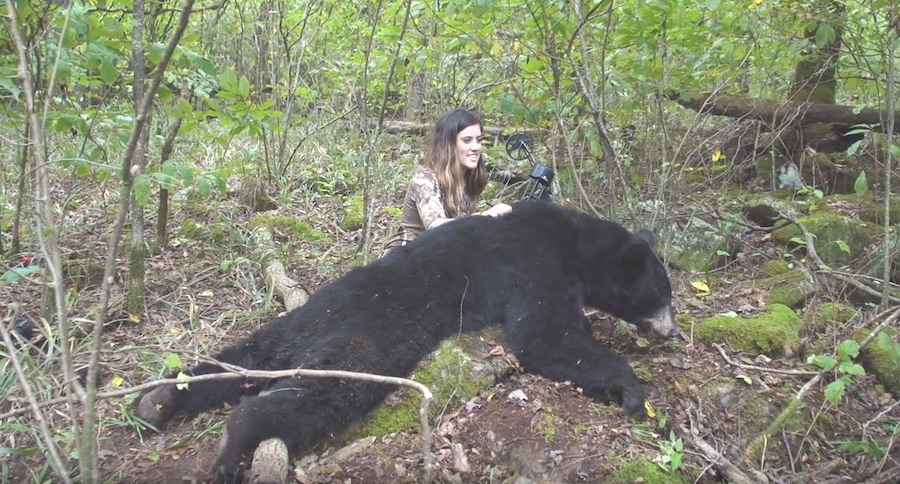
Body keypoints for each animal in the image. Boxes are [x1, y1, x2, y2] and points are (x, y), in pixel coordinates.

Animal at [135, 201, 680, 483]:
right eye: (662, 294)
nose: (672, 331)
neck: (574, 245)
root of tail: (311, 325)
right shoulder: (530, 266)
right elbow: (544, 335)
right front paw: (634, 391)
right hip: (366, 339)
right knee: (323, 392)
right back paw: (232, 449)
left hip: (282, 331)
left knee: (234, 360)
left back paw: (158, 400)